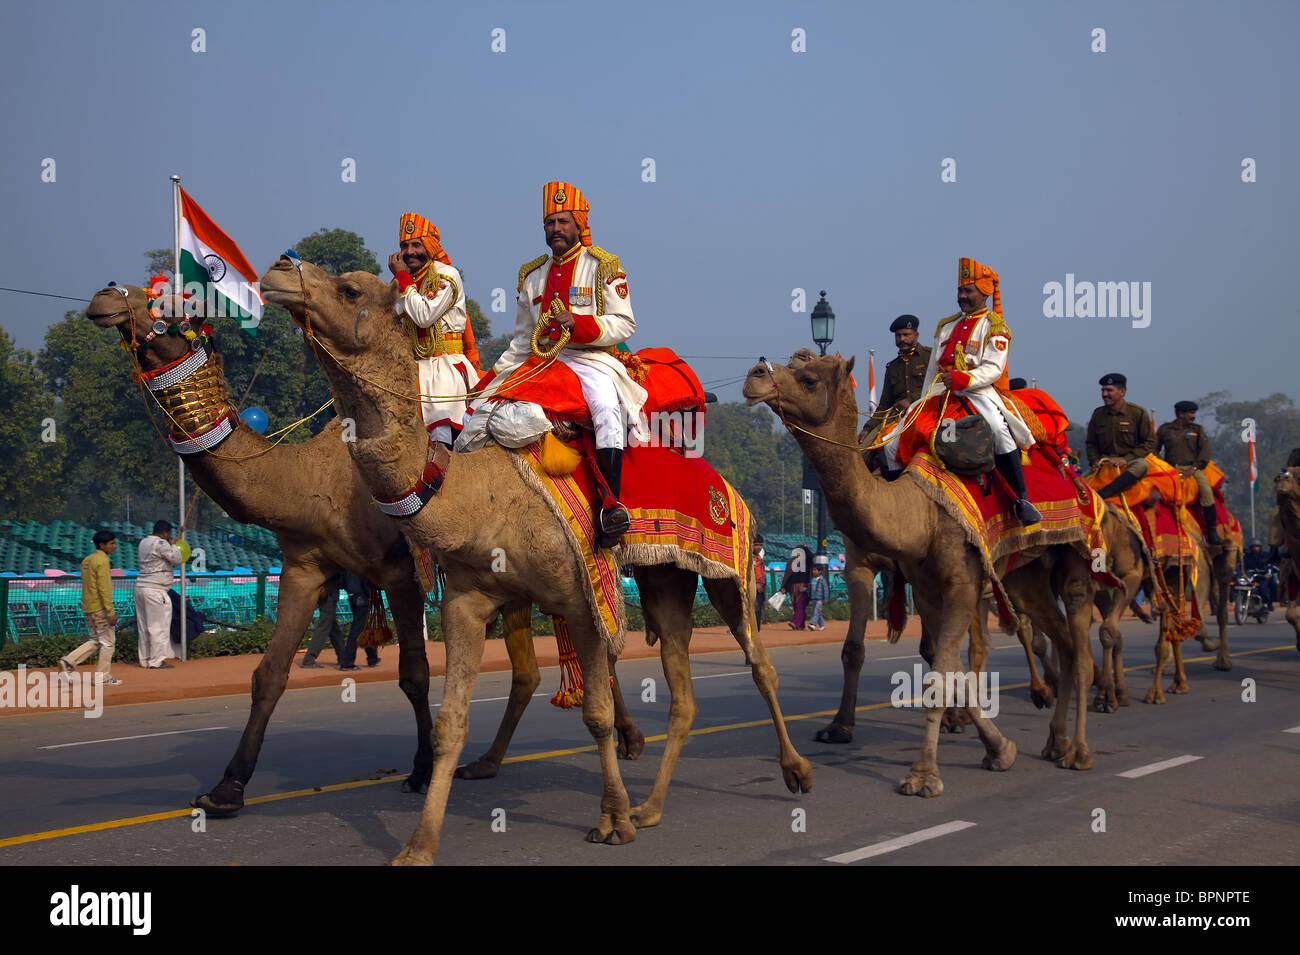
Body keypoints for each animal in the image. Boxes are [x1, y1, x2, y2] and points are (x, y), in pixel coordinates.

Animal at [85, 284, 643, 814]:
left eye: (170, 303)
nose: (107, 297)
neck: (315, 477)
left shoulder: (399, 570)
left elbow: (414, 674)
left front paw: (420, 770)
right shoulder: (306, 564)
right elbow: (268, 674)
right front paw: (226, 789)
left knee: (600, 636)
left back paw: (629, 739)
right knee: (540, 665)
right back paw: (501, 760)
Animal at [259, 256, 812, 864]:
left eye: (349, 289)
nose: (280, 268)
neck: (479, 494)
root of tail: (726, 488)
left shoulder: (582, 596)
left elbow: (595, 712)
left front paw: (612, 821)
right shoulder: (467, 600)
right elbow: (451, 723)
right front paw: (418, 846)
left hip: (731, 567)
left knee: (758, 660)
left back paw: (795, 772)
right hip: (664, 574)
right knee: (683, 690)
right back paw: (652, 807)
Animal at [745, 350, 1101, 796]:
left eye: (809, 379)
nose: (755, 375)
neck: (918, 511)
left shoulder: (962, 583)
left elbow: (940, 675)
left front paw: (924, 774)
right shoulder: (919, 584)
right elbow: (942, 667)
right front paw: (1000, 748)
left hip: (1073, 555)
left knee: (1078, 649)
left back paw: (1079, 750)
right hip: (1026, 575)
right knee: (1062, 643)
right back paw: (1056, 741)